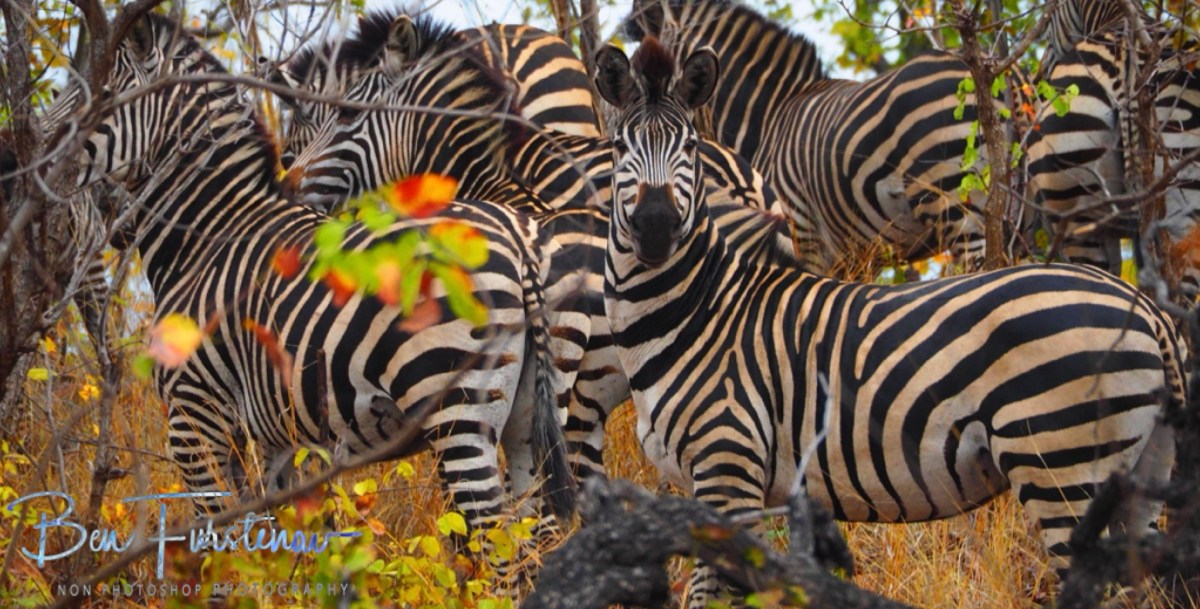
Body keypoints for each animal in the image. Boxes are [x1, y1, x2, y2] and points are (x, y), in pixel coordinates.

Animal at [54, 13, 577, 571]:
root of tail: (519, 243)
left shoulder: (195, 415)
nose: (31, 154)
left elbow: (220, 548)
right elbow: (283, 547)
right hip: (532, 419)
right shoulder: (277, 437)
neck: (212, 232)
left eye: (104, 97)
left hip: (457, 410)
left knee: (500, 557)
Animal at [596, 38, 1187, 607]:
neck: (699, 311)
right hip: (1139, 473)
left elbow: (711, 595)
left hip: (1059, 462)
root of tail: (1147, 307)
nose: (655, 227)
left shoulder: (728, 465)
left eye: (691, 148)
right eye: (620, 148)